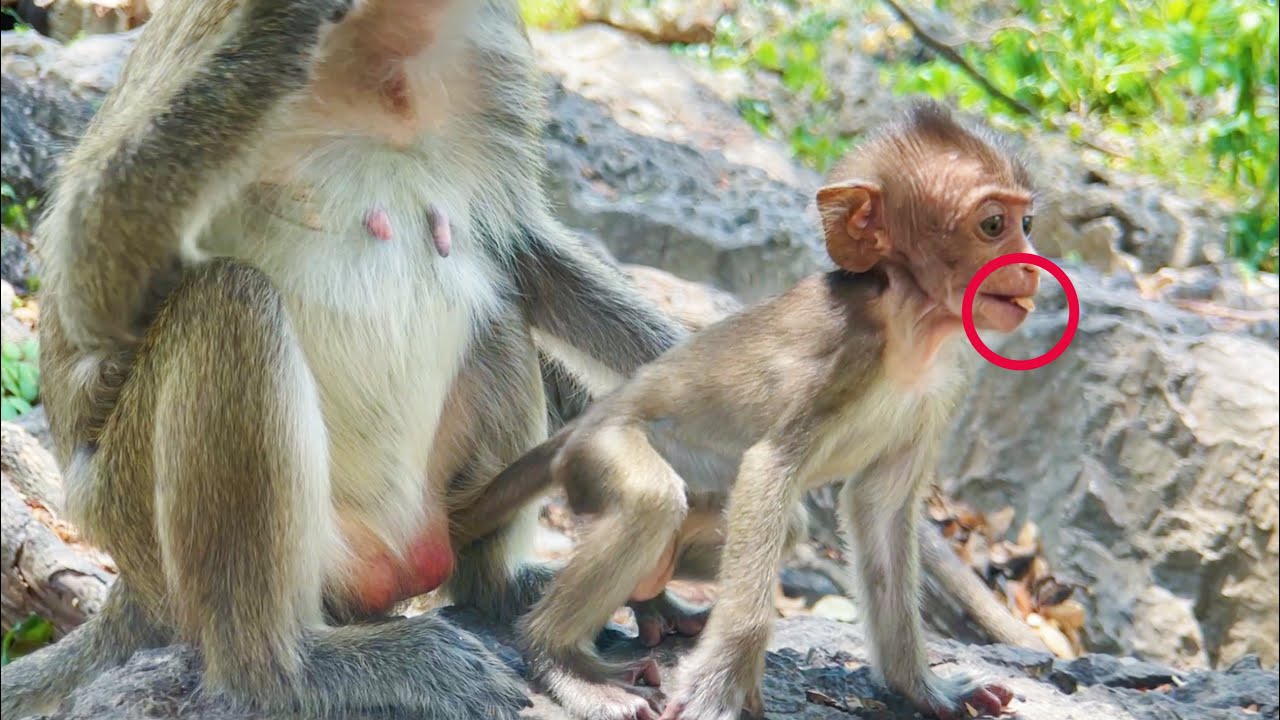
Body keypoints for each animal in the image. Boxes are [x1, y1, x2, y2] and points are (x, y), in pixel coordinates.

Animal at [0, 1, 690, 718]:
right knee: (229, 300)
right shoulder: (202, 25)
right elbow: (89, 300)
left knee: (500, 300)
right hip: (140, 516)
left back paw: (506, 600)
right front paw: (277, 30)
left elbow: (523, 251)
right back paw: (283, 673)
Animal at [462, 101, 1040, 720]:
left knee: (778, 526)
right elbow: (769, 469)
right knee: (651, 499)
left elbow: (880, 506)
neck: (909, 325)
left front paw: (923, 687)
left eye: (1026, 224)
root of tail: (588, 419)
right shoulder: (844, 359)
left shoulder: (949, 384)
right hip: (602, 448)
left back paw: (652, 604)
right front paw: (721, 686)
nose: (1031, 265)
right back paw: (559, 657)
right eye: (992, 225)